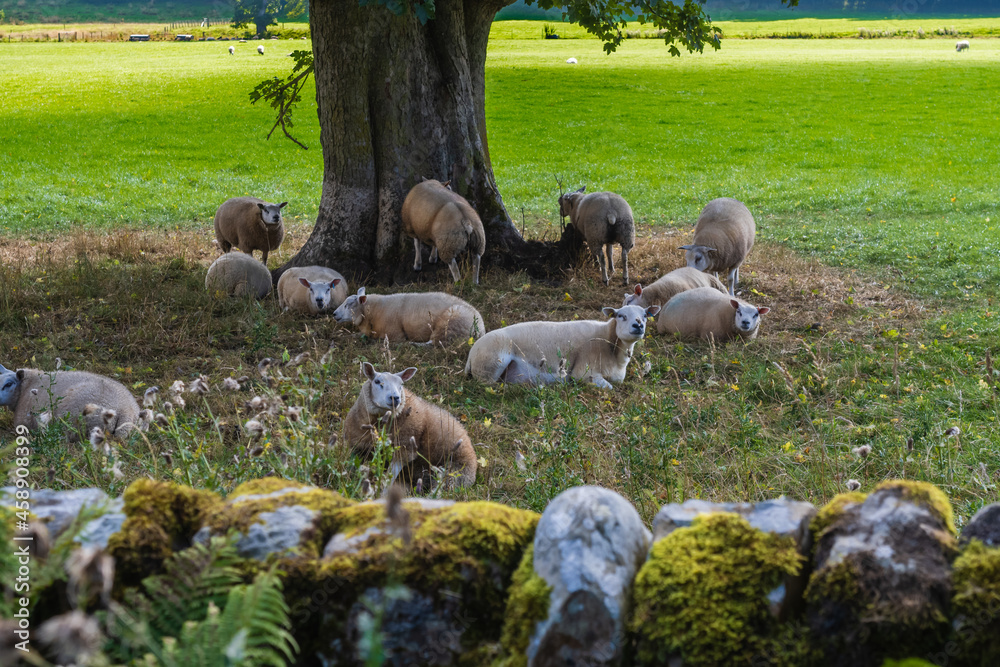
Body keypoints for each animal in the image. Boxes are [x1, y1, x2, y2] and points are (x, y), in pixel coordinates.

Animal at [333, 287, 486, 346]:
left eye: (349, 304)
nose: (334, 314)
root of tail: (481, 329)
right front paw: (340, 337)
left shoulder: (394, 334)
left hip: (448, 326)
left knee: (433, 344)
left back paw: (411, 344)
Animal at [342, 362, 477, 490]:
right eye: (377, 381)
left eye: (401, 384)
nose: (395, 398)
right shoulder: (355, 445)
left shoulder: (405, 449)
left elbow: (388, 479)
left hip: (453, 473)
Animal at [465, 304, 659, 389]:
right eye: (621, 316)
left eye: (645, 315)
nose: (638, 325)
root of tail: (471, 354)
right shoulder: (584, 373)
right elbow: (609, 387)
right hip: (491, 366)